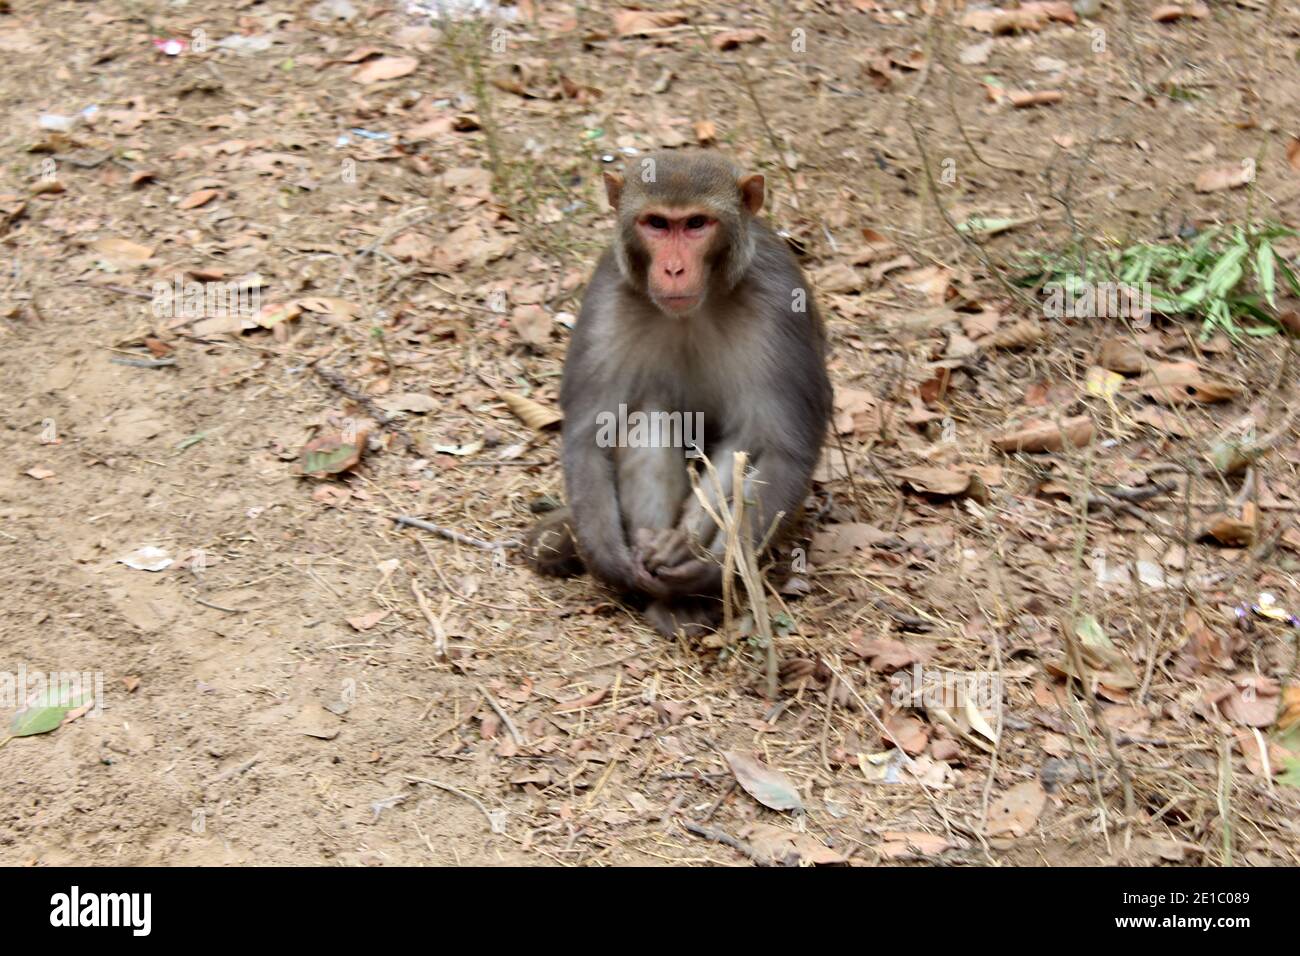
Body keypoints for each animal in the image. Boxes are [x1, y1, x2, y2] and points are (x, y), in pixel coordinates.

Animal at [526, 149, 832, 638]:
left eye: (695, 224)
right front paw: (610, 557)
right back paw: (651, 555)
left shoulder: (780, 298)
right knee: (651, 413)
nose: (673, 269)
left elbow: (784, 450)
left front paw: (707, 567)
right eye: (656, 223)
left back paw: (682, 572)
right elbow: (590, 434)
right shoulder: (609, 294)